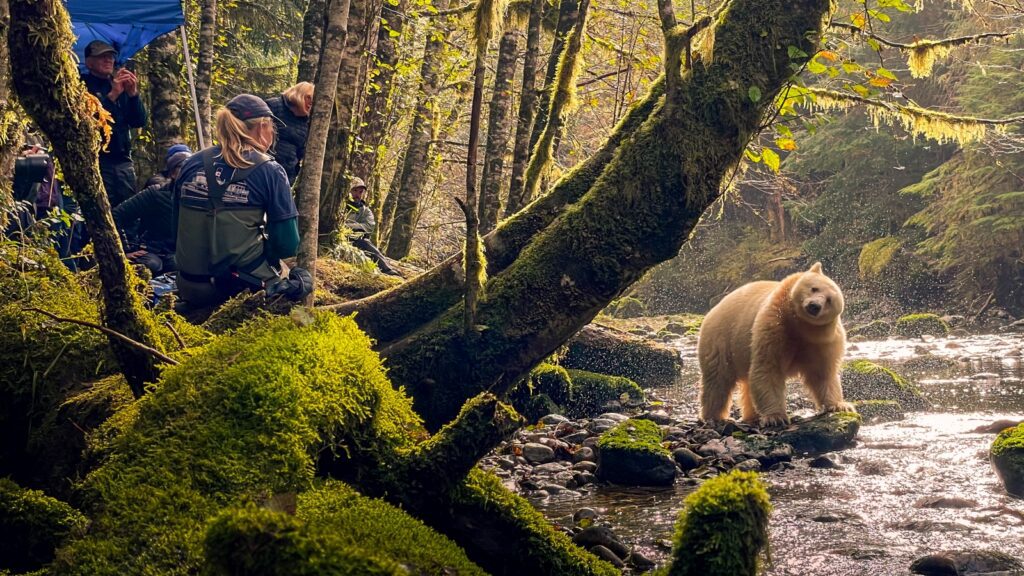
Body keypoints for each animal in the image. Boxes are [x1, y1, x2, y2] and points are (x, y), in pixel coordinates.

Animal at [697, 262, 854, 427]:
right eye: (814, 288)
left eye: (829, 300)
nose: (814, 306)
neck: (800, 326)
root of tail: (715, 307)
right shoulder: (774, 324)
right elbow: (768, 368)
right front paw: (776, 417)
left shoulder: (823, 341)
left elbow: (822, 373)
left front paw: (840, 405)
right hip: (722, 338)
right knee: (718, 378)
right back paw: (715, 416)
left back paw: (751, 415)